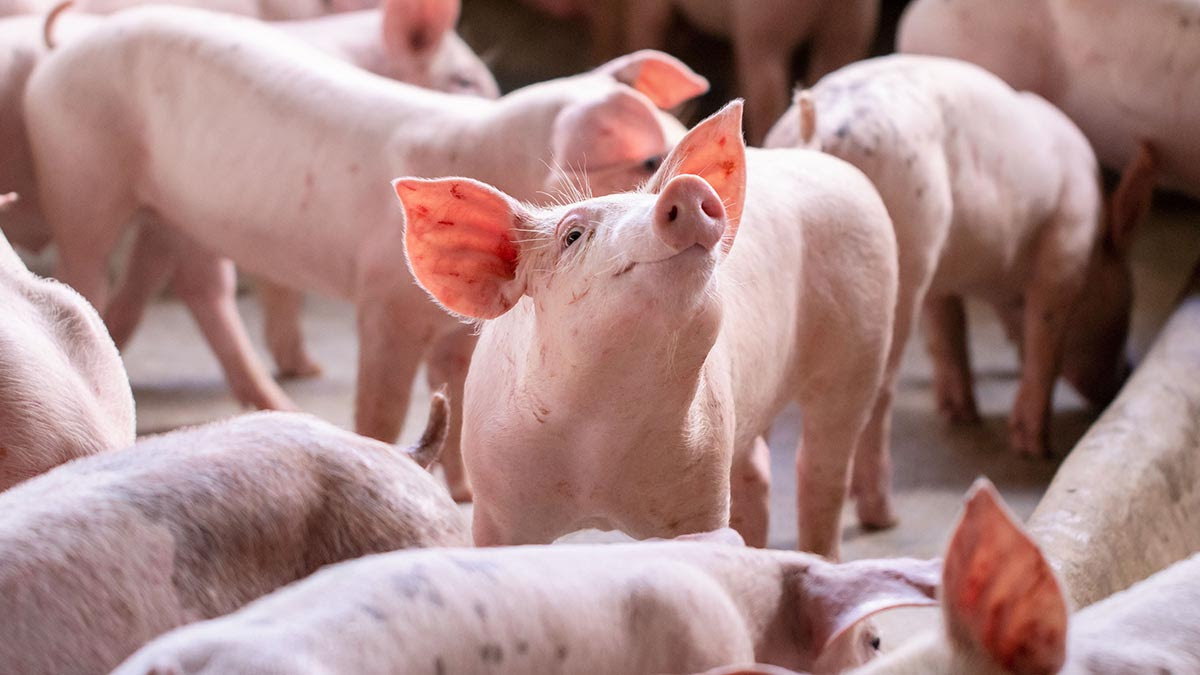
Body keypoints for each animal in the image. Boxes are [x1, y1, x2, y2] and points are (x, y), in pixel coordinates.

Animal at [24, 5, 708, 502]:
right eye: (646, 159)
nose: (699, 194)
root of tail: (67, 48)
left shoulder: (459, 327)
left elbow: (460, 397)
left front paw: (465, 493)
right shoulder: (385, 301)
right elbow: (383, 402)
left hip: (178, 215)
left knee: (200, 288)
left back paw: (282, 400)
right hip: (80, 169)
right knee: (89, 267)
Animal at [397, 101, 898, 557]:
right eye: (572, 236)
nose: (687, 187)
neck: (597, 444)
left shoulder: (703, 483)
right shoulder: (496, 506)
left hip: (864, 340)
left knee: (822, 470)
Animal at [763, 55, 1156, 525]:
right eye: (1126, 305)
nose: (1126, 374)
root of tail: (817, 129)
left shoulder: (944, 278)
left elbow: (948, 330)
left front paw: (961, 414)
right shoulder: (1066, 248)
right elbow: (1045, 340)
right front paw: (1036, 448)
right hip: (907, 251)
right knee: (880, 392)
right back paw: (884, 515)